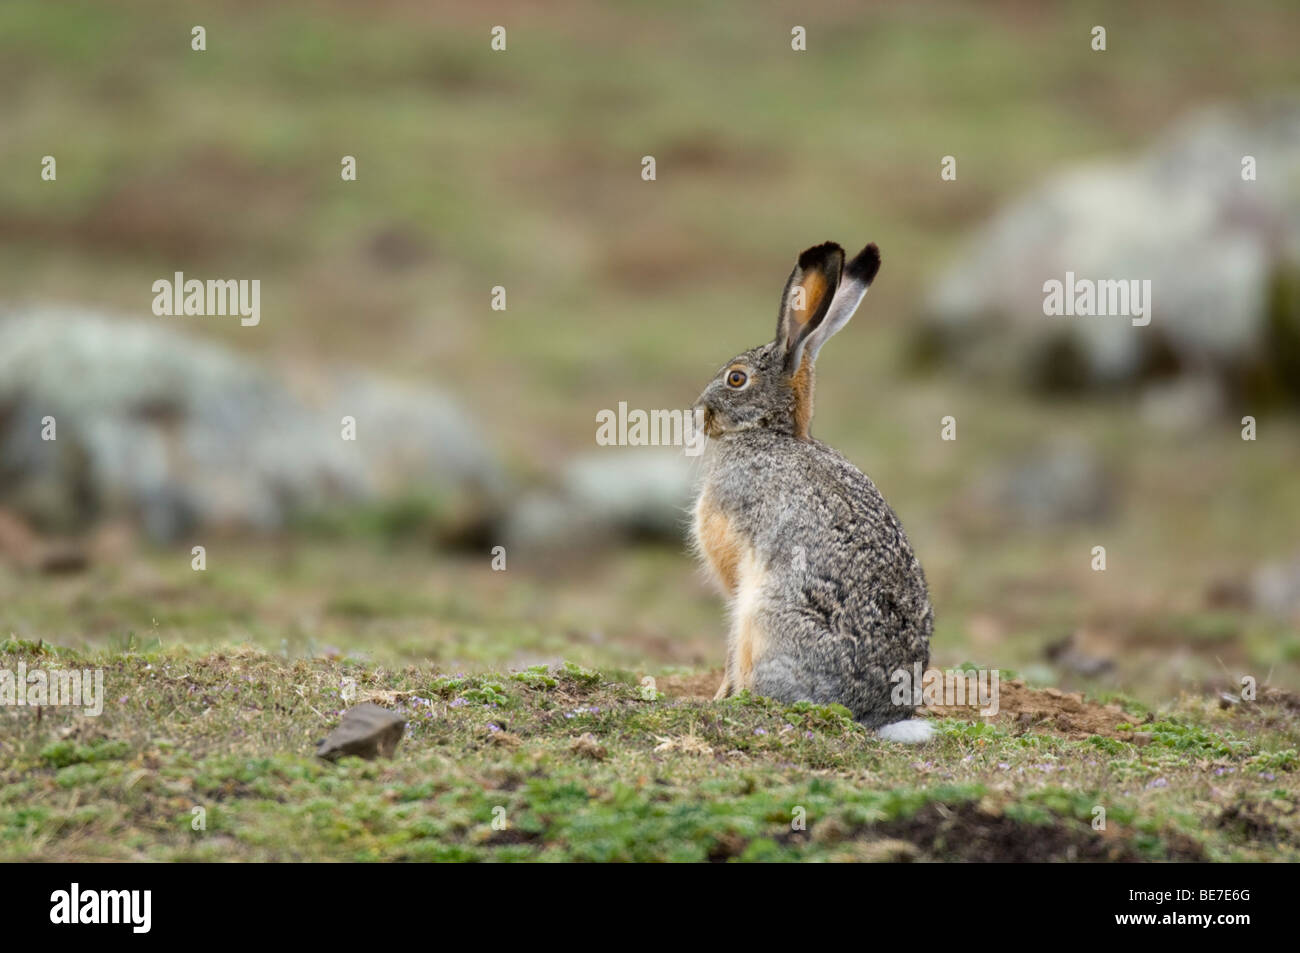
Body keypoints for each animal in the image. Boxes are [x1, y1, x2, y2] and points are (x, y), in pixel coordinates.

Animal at [691, 241, 935, 743]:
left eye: (736, 378)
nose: (698, 410)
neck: (769, 433)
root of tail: (877, 716)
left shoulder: (740, 573)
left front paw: (718, 696)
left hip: (766, 615)